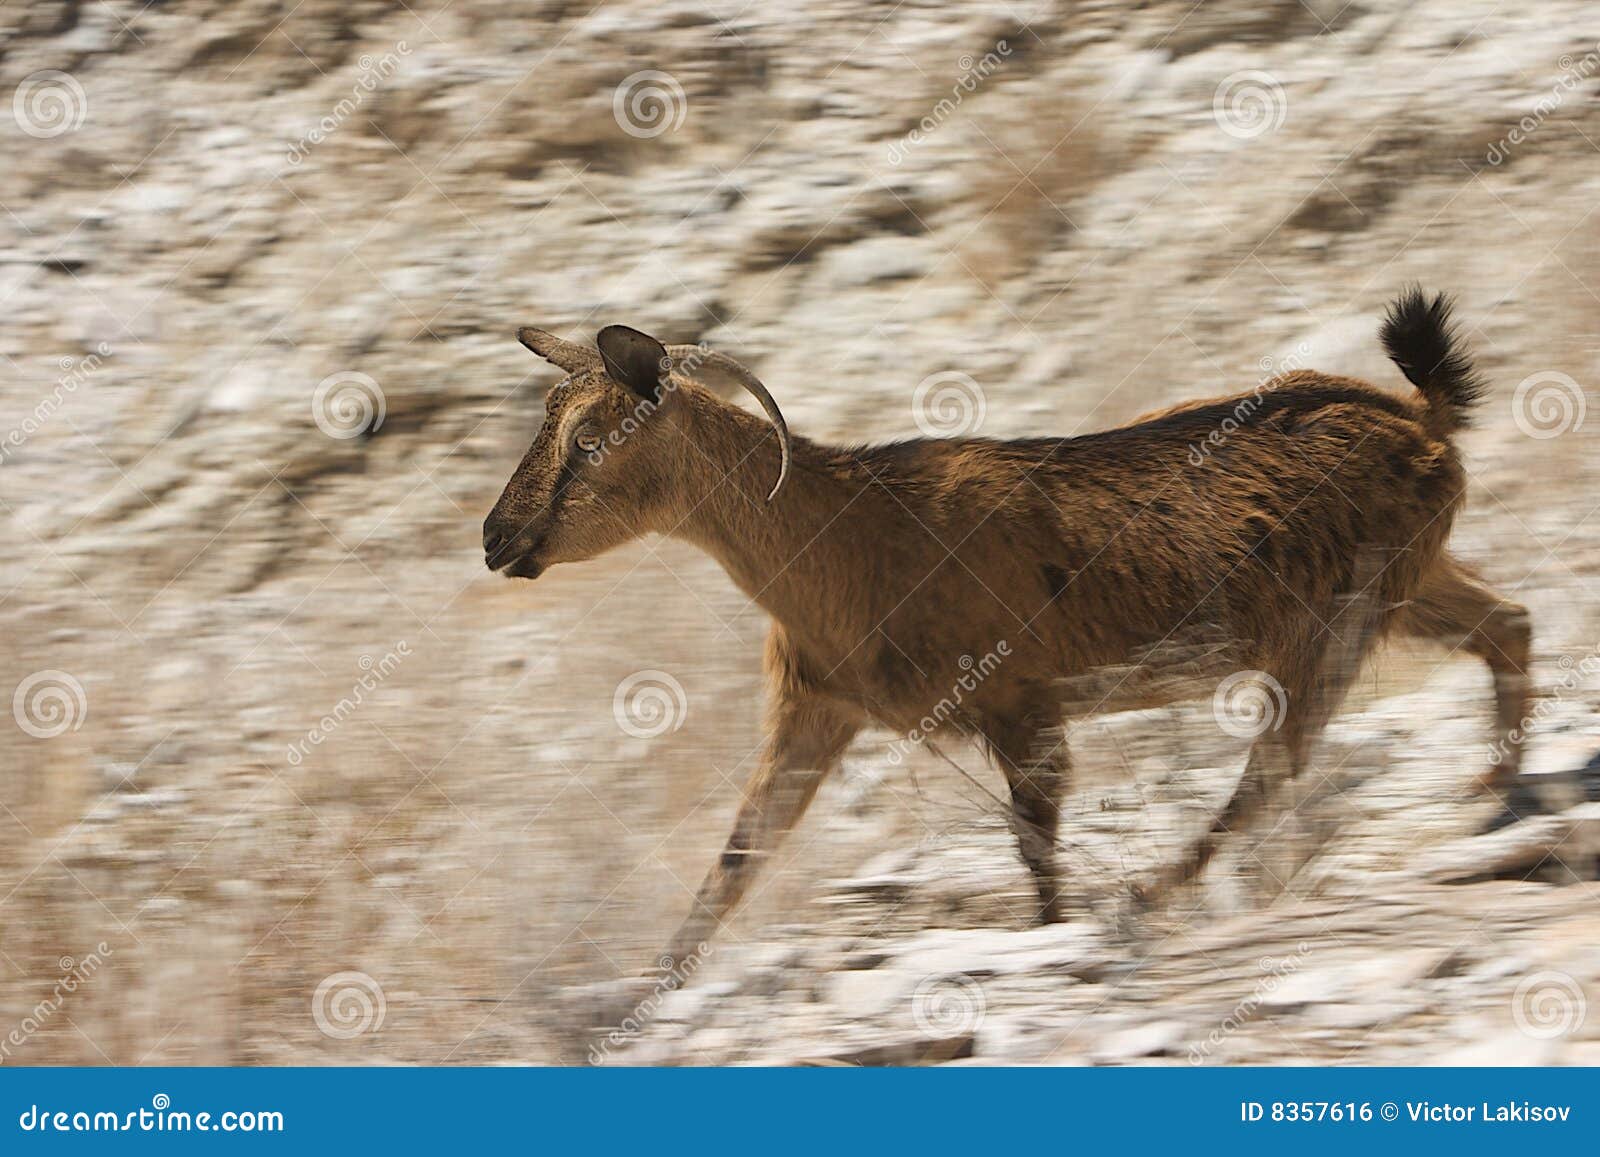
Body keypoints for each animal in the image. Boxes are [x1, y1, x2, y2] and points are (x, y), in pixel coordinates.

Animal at [484, 289, 1535, 968]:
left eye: (589, 440)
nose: (497, 538)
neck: (846, 540)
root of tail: (1420, 419)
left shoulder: (1020, 704)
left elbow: (1033, 843)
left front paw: (1055, 935)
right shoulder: (815, 712)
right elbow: (737, 859)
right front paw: (639, 1001)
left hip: (1333, 622)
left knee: (1274, 765)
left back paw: (1153, 890)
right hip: (1407, 582)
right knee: (1507, 624)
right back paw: (1494, 789)